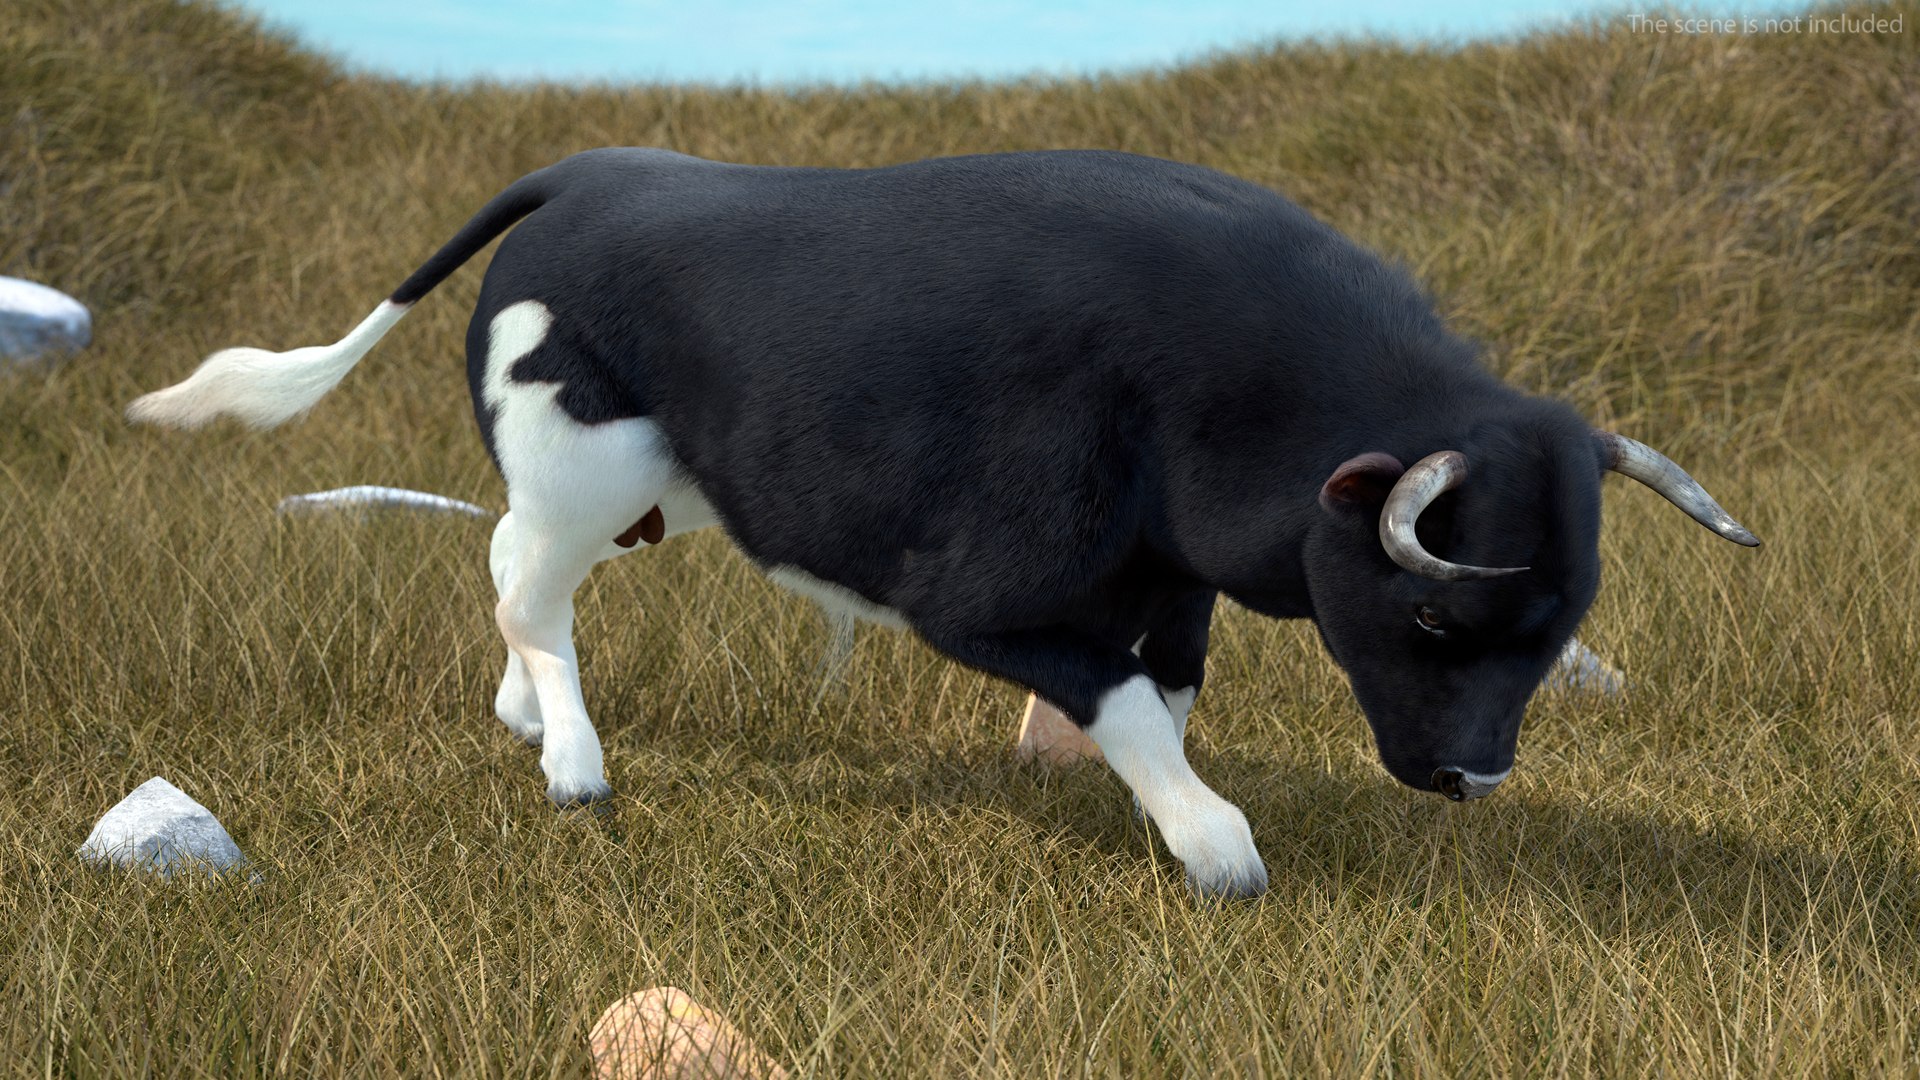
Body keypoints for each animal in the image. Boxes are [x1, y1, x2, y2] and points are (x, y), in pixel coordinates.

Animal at [126, 148, 1758, 899]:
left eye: (1563, 626)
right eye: (1432, 609)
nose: (1477, 777)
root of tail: (597, 168)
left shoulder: (1170, 582)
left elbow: (1167, 686)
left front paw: (1142, 802)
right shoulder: (976, 595)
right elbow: (1126, 702)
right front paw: (1216, 849)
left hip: (633, 485)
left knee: (518, 579)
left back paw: (524, 719)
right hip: (579, 454)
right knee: (524, 581)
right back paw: (574, 765)